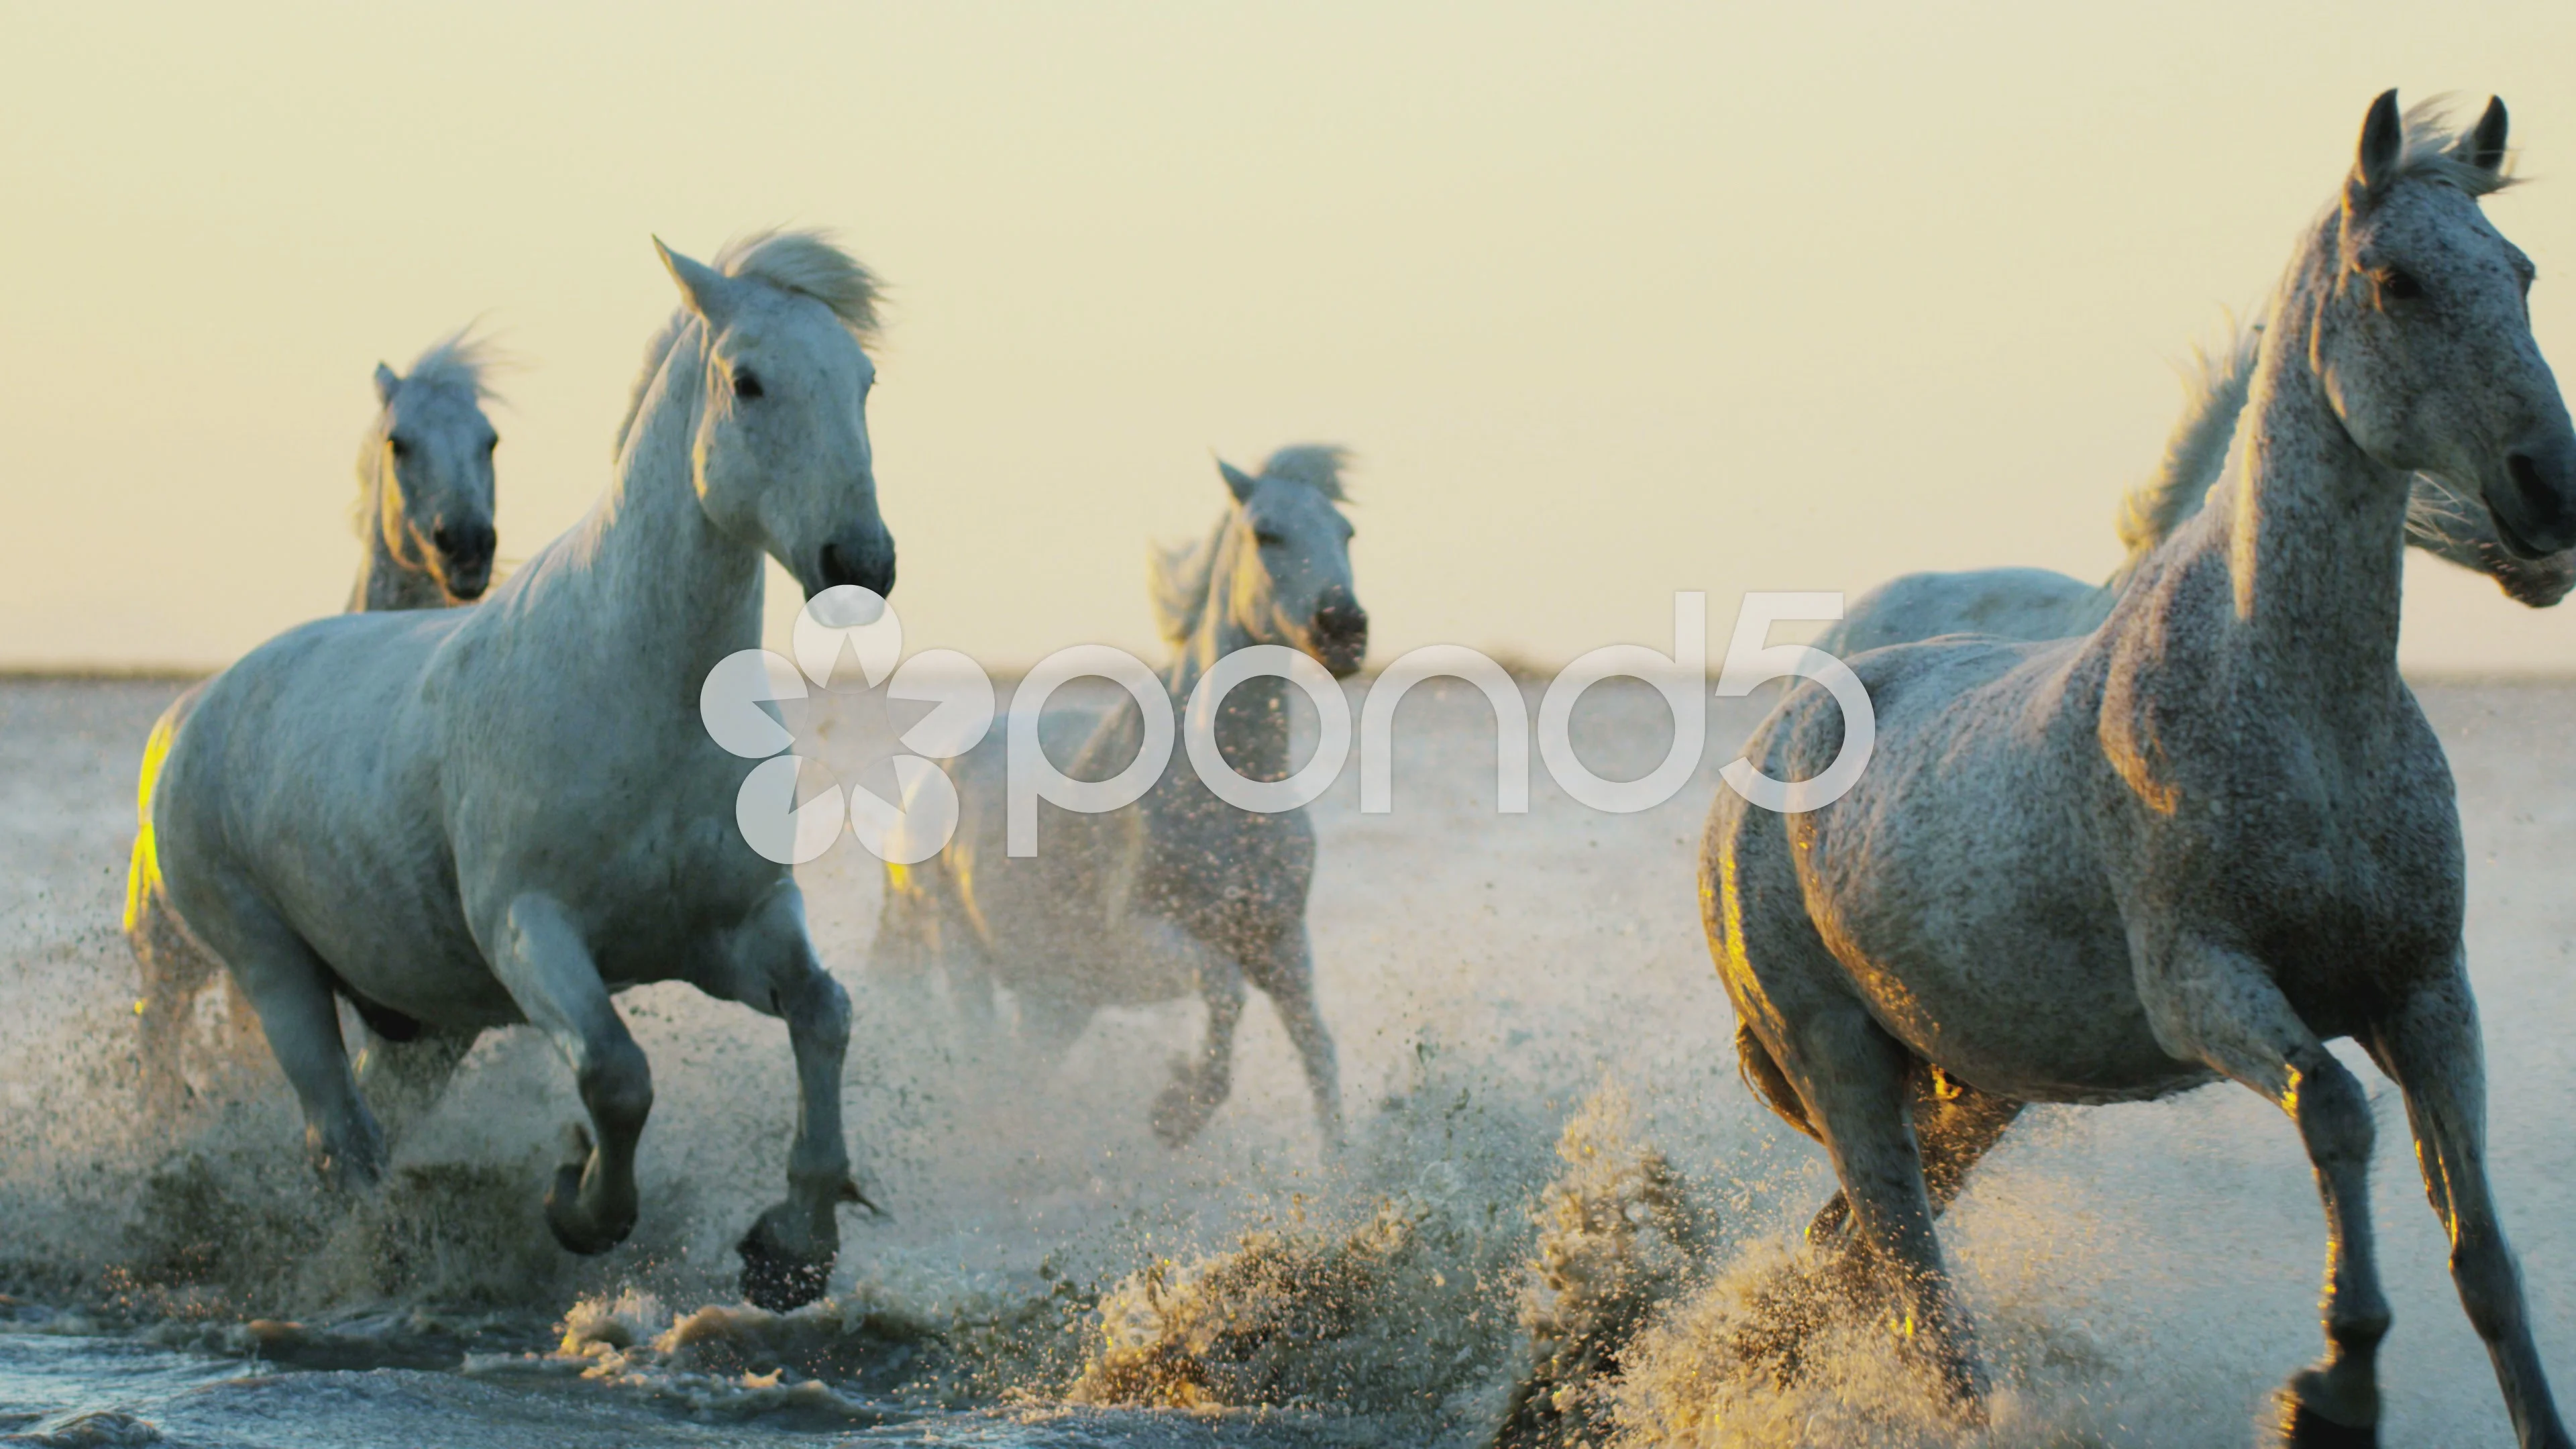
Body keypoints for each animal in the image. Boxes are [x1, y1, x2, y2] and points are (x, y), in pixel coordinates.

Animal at [875, 446, 1364, 1149]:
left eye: (1347, 533)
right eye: (1266, 533)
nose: (1345, 629)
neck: (1224, 798)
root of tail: (916, 790)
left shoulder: (1280, 945)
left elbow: (1318, 1052)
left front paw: (1343, 1168)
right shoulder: (1140, 938)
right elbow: (1223, 988)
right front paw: (1177, 1112)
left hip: (1057, 1000)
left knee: (1021, 1076)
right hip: (964, 956)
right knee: (983, 1063)